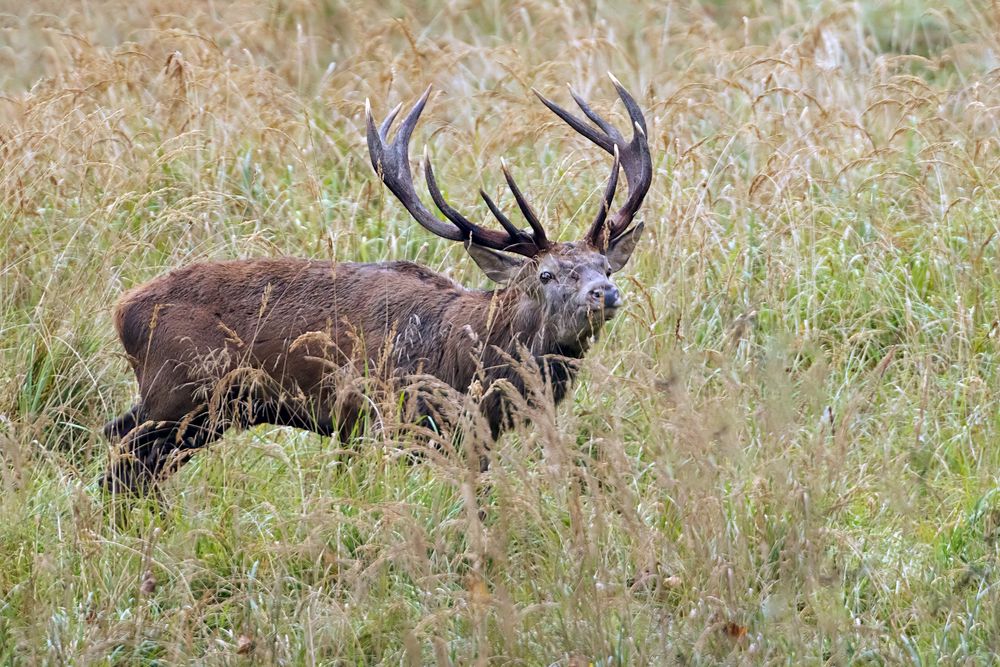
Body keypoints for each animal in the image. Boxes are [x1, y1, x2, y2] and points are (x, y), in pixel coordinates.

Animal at [101, 75, 652, 494]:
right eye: (546, 274)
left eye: (606, 266)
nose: (604, 293)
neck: (470, 356)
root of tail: (124, 312)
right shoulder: (390, 419)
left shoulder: (473, 438)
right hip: (178, 391)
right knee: (121, 452)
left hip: (199, 411)